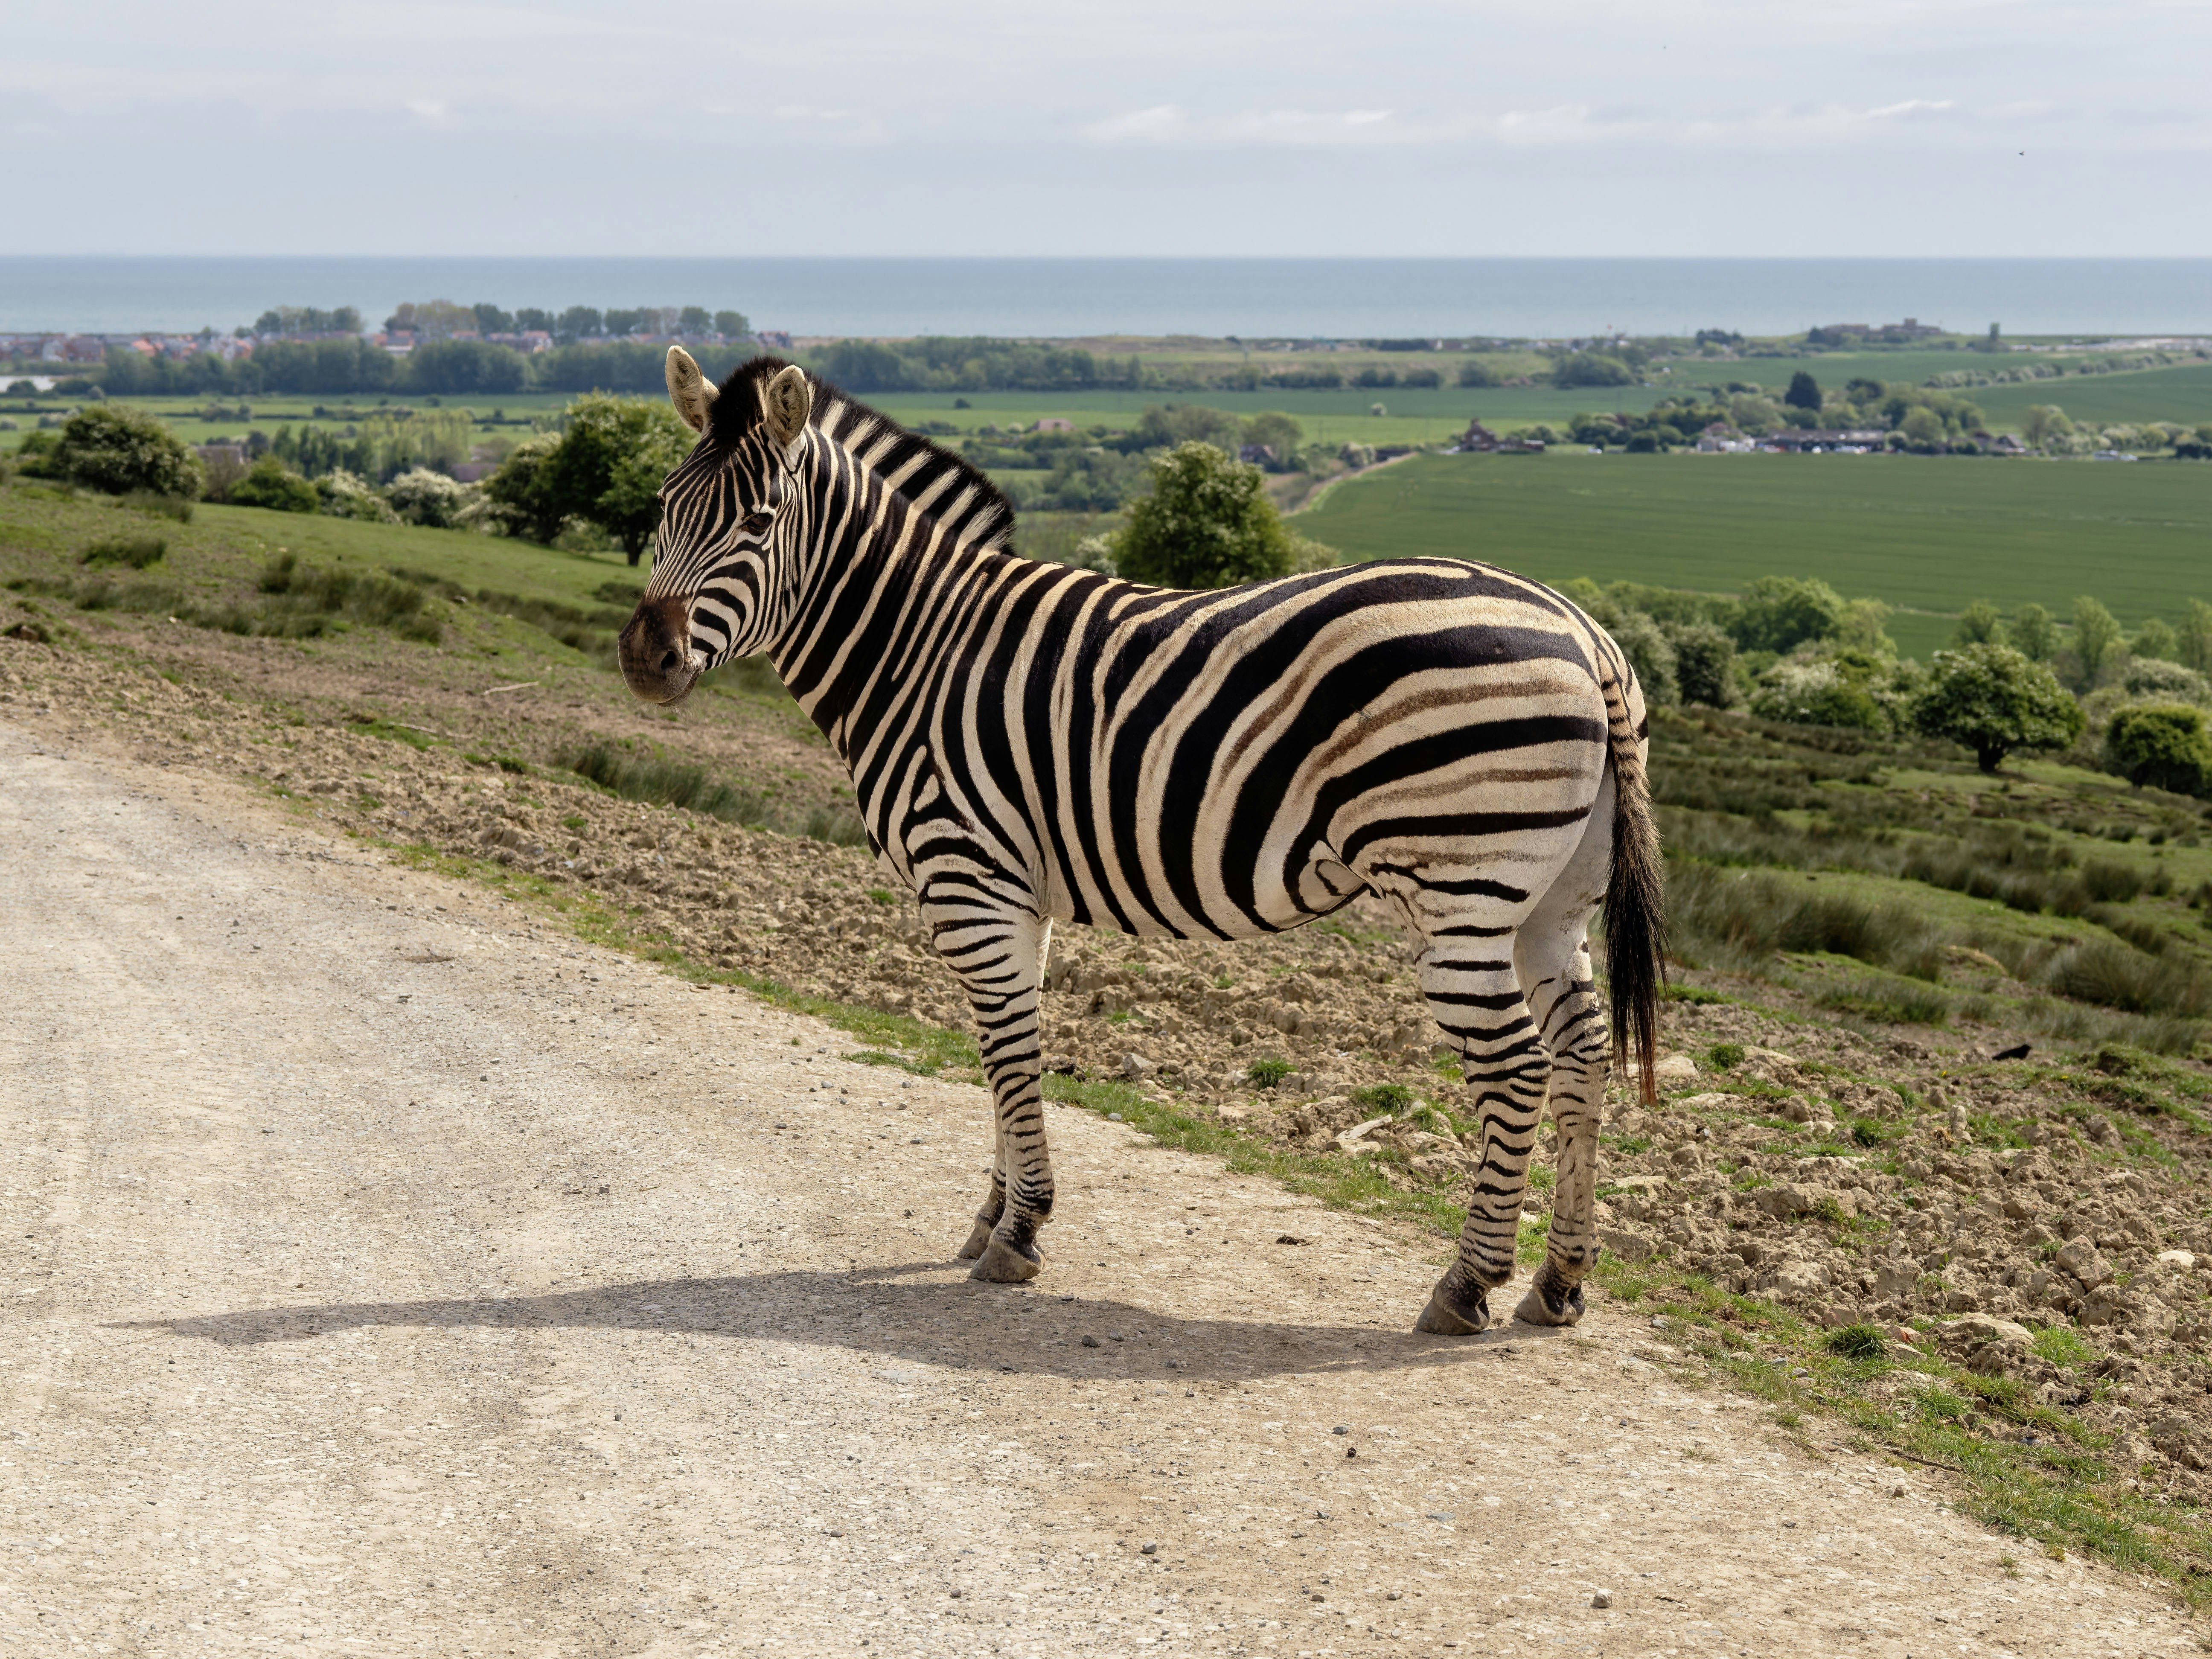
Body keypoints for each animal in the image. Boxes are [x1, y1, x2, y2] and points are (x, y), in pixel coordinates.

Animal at [621, 350, 1663, 1335]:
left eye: (758, 524)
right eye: (664, 507)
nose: (642, 659)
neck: (917, 650)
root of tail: (1582, 631)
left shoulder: (967, 879)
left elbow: (1009, 1049)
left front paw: (1020, 1233)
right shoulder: (1013, 890)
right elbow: (1004, 1043)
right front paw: (992, 1216)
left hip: (1460, 894)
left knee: (1517, 1068)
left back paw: (1466, 1284)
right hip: (1550, 903)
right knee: (1582, 1056)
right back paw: (1558, 1283)